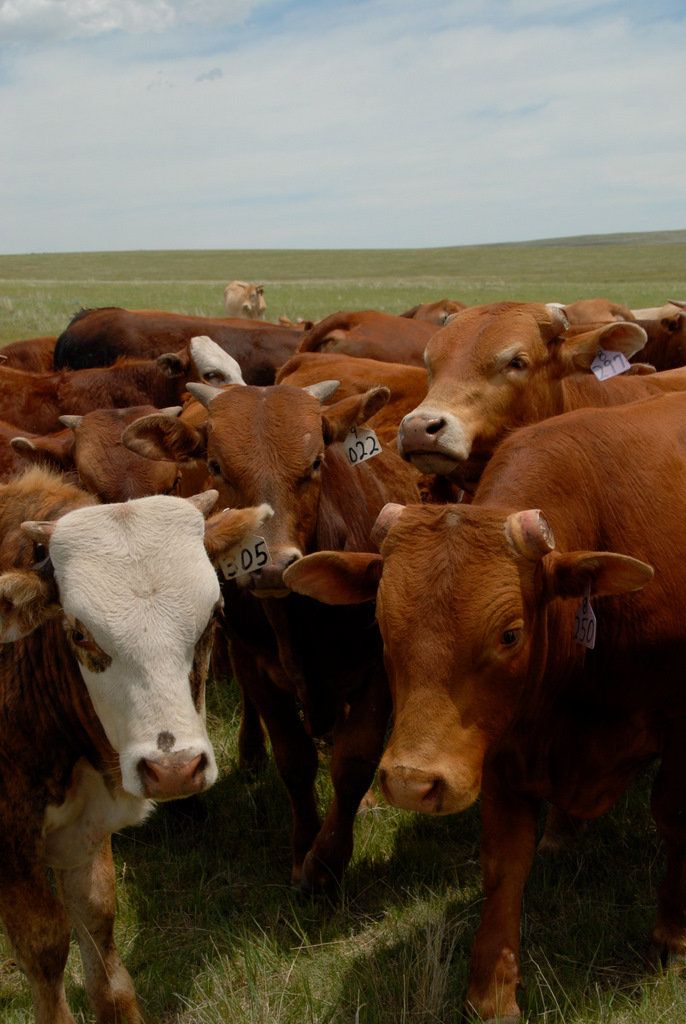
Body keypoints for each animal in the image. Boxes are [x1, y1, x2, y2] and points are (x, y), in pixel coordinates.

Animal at [0, 467, 272, 1023]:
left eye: (215, 615)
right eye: (79, 634)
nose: (174, 769)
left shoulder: (82, 837)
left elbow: (99, 929)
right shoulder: (12, 849)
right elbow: (44, 946)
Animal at [121, 380, 423, 892]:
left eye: (316, 462)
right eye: (216, 466)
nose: (269, 565)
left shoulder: (376, 664)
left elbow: (354, 760)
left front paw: (330, 858)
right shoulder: (253, 663)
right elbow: (294, 759)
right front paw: (306, 853)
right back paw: (249, 752)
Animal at [283, 392, 686, 1021]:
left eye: (510, 634)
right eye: (380, 623)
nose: (411, 783)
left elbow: (673, 819)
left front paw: (672, 931)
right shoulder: (497, 747)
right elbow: (504, 859)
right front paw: (492, 989)